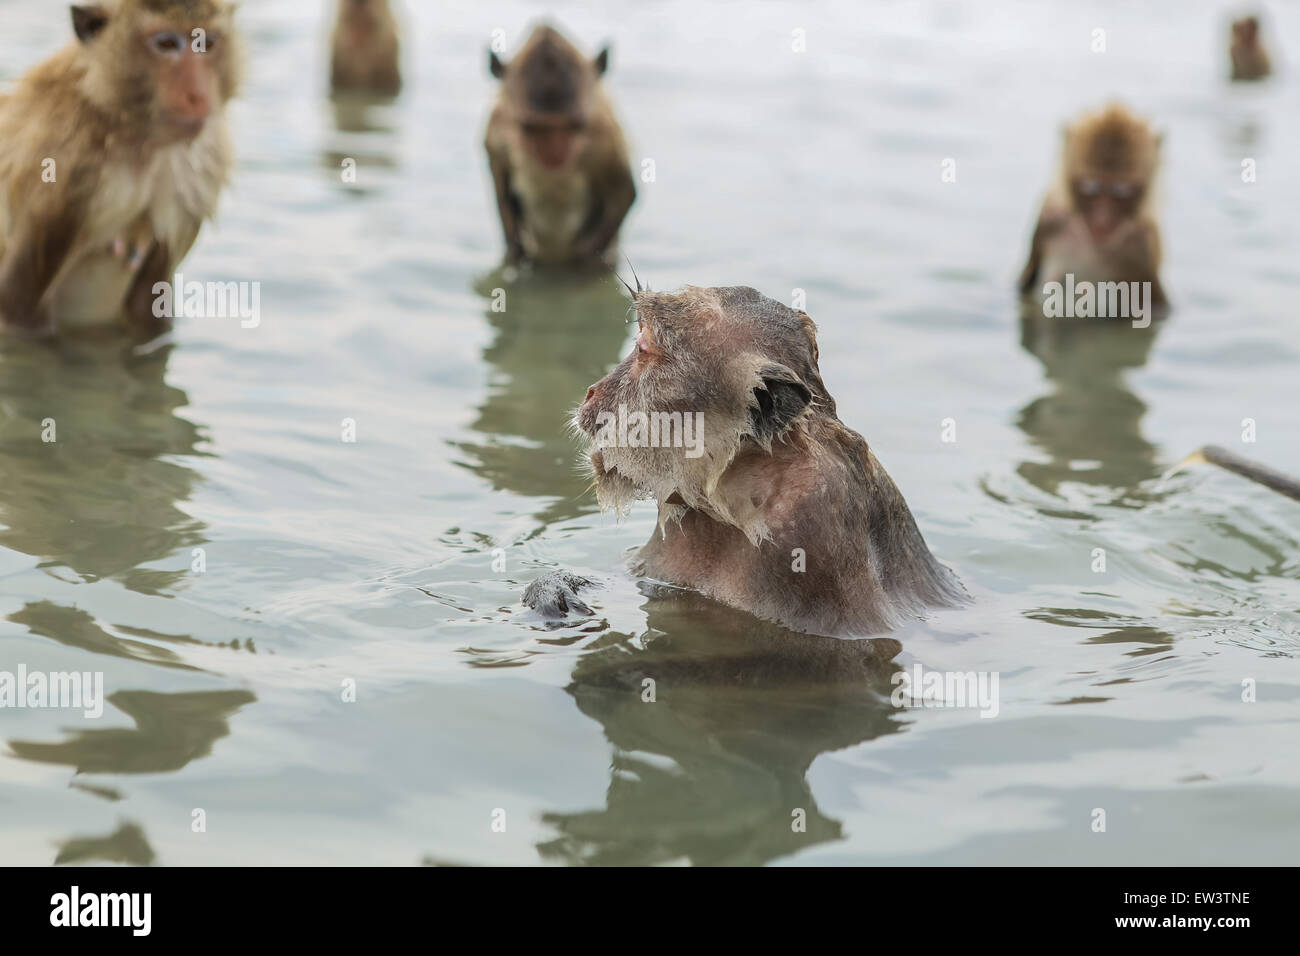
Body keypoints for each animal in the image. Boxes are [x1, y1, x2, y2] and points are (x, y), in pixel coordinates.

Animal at [0, 1, 242, 341]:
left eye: (206, 43)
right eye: (167, 44)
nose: (198, 96)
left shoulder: (201, 173)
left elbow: (150, 309)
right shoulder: (58, 169)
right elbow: (18, 309)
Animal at [484, 25, 636, 266]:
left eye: (574, 126)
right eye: (531, 128)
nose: (555, 153)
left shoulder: (603, 134)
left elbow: (626, 191)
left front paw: (587, 258)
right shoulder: (495, 130)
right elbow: (499, 176)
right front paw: (514, 250)